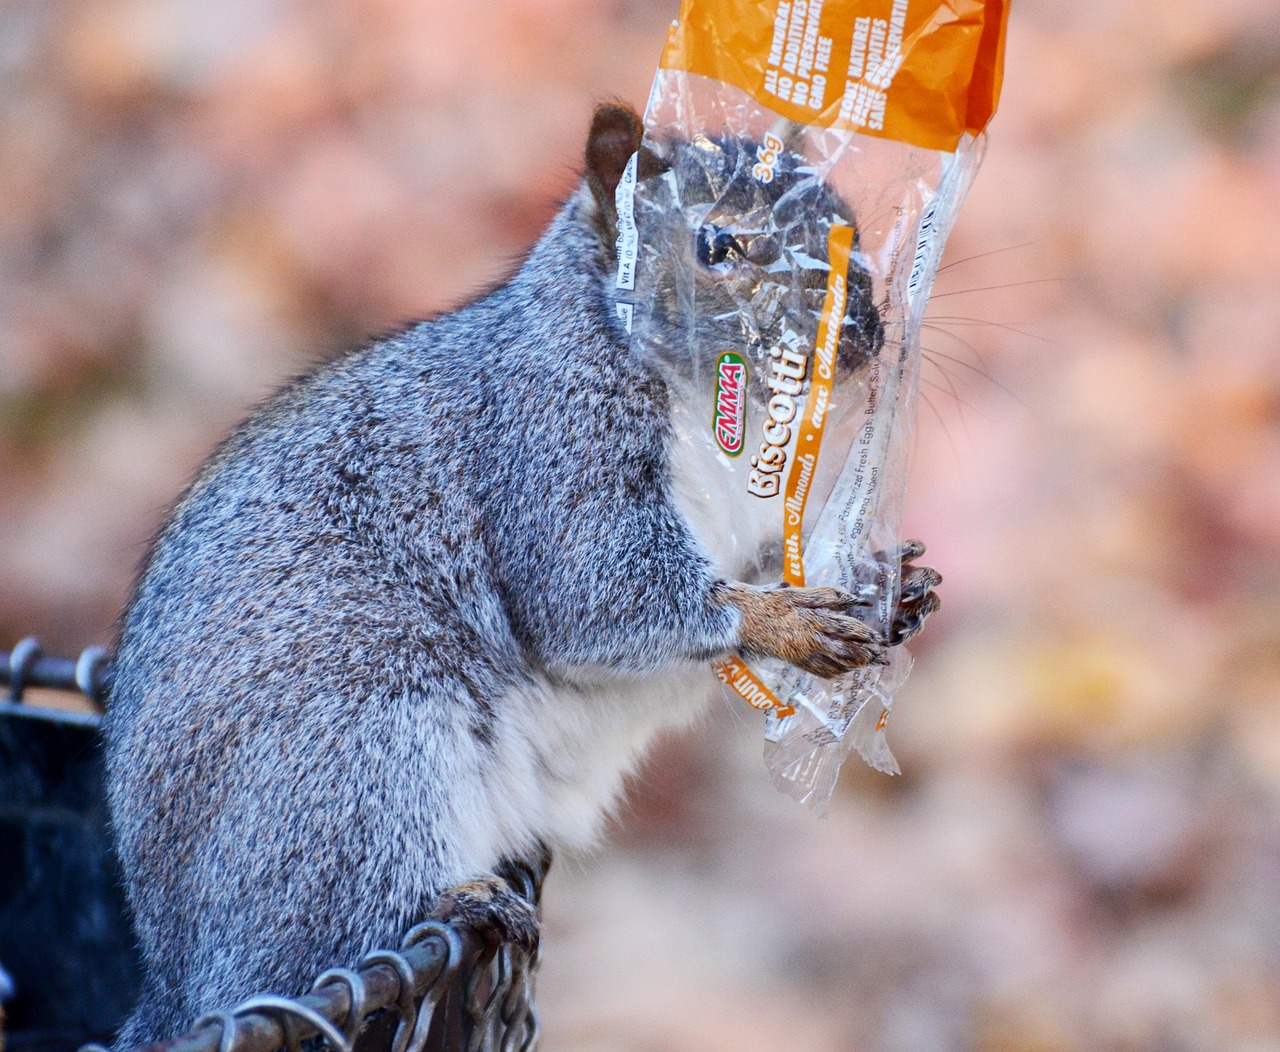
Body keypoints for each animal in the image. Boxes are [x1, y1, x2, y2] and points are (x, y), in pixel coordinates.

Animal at [104, 102, 941, 1046]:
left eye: (851, 225)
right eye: (717, 245)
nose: (865, 337)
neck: (716, 410)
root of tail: (180, 982)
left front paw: (882, 584)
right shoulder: (548, 442)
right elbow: (600, 596)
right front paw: (785, 621)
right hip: (356, 753)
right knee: (330, 933)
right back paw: (452, 901)